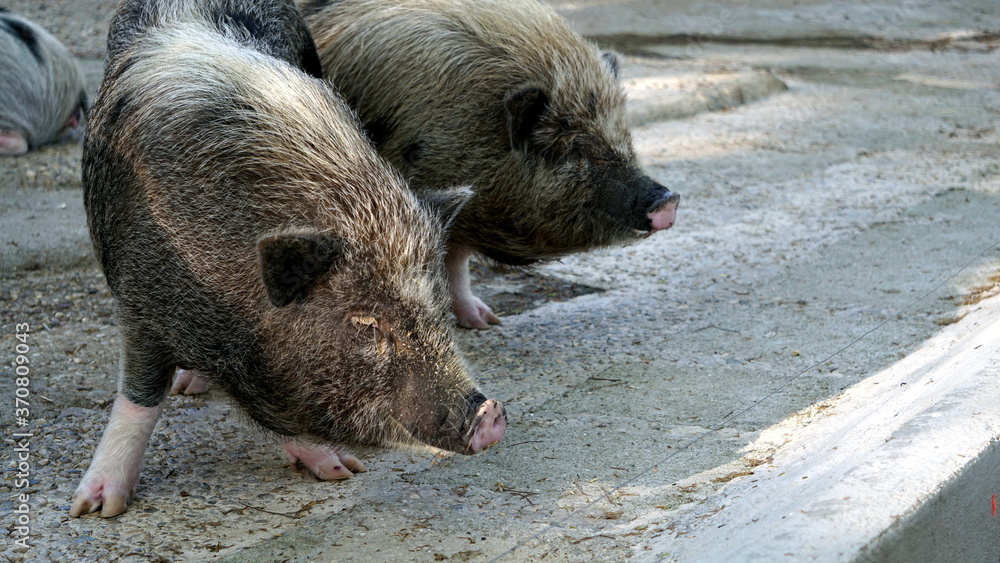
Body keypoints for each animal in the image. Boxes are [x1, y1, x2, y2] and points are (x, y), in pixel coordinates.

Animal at [70, 0, 506, 518]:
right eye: (365, 323)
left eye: (436, 307)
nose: (490, 414)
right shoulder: (139, 300)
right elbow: (139, 396)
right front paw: (94, 508)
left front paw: (341, 469)